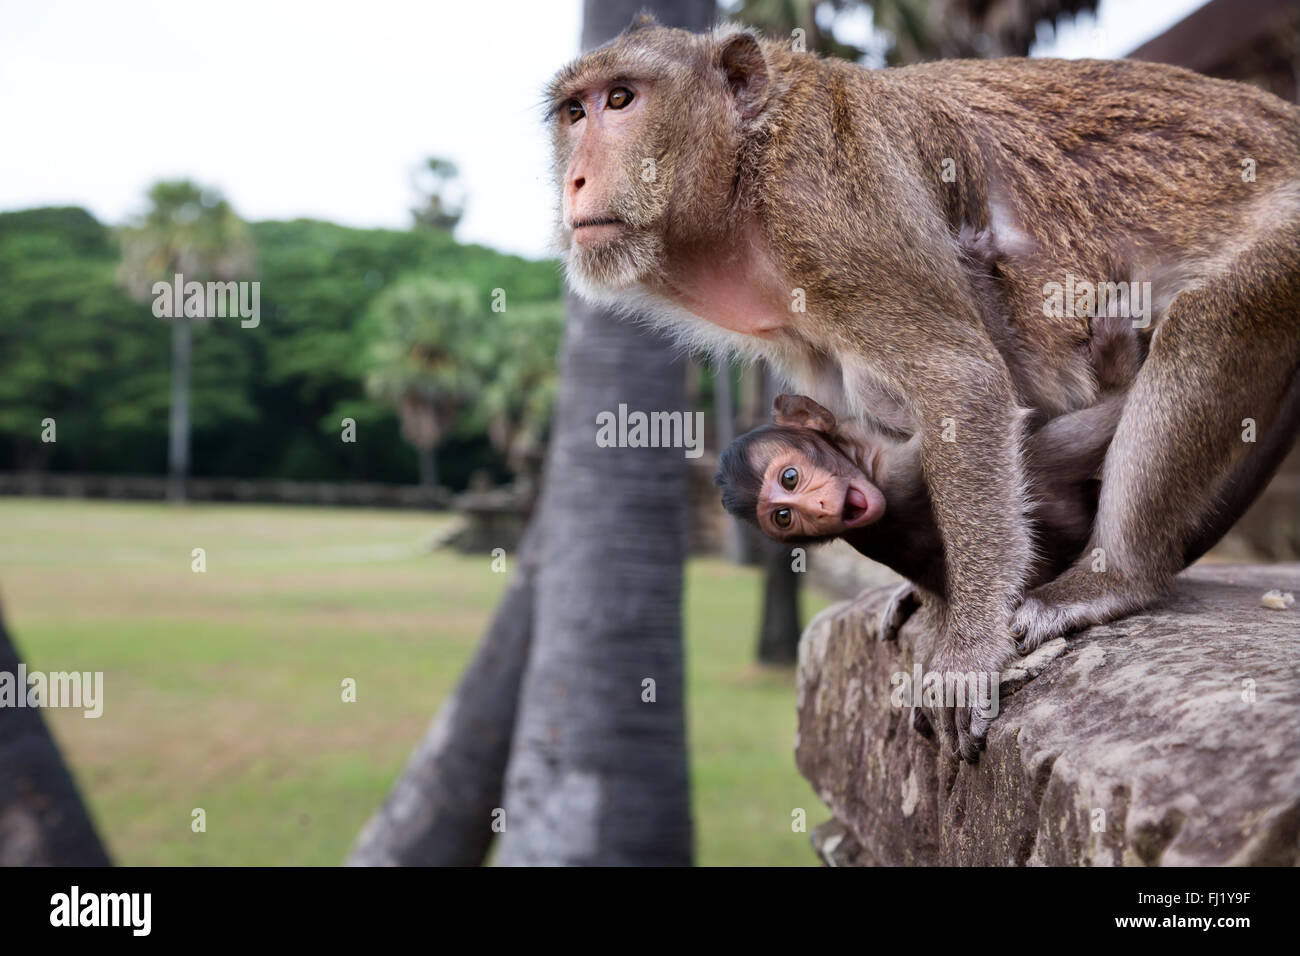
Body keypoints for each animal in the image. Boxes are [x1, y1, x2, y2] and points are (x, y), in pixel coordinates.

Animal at [548, 15, 1300, 760]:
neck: (748, 165)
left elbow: (961, 382)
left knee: (1209, 318)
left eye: (621, 100)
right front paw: (929, 592)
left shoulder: (829, 201)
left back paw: (1113, 578)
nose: (576, 180)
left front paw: (968, 650)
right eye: (574, 112)